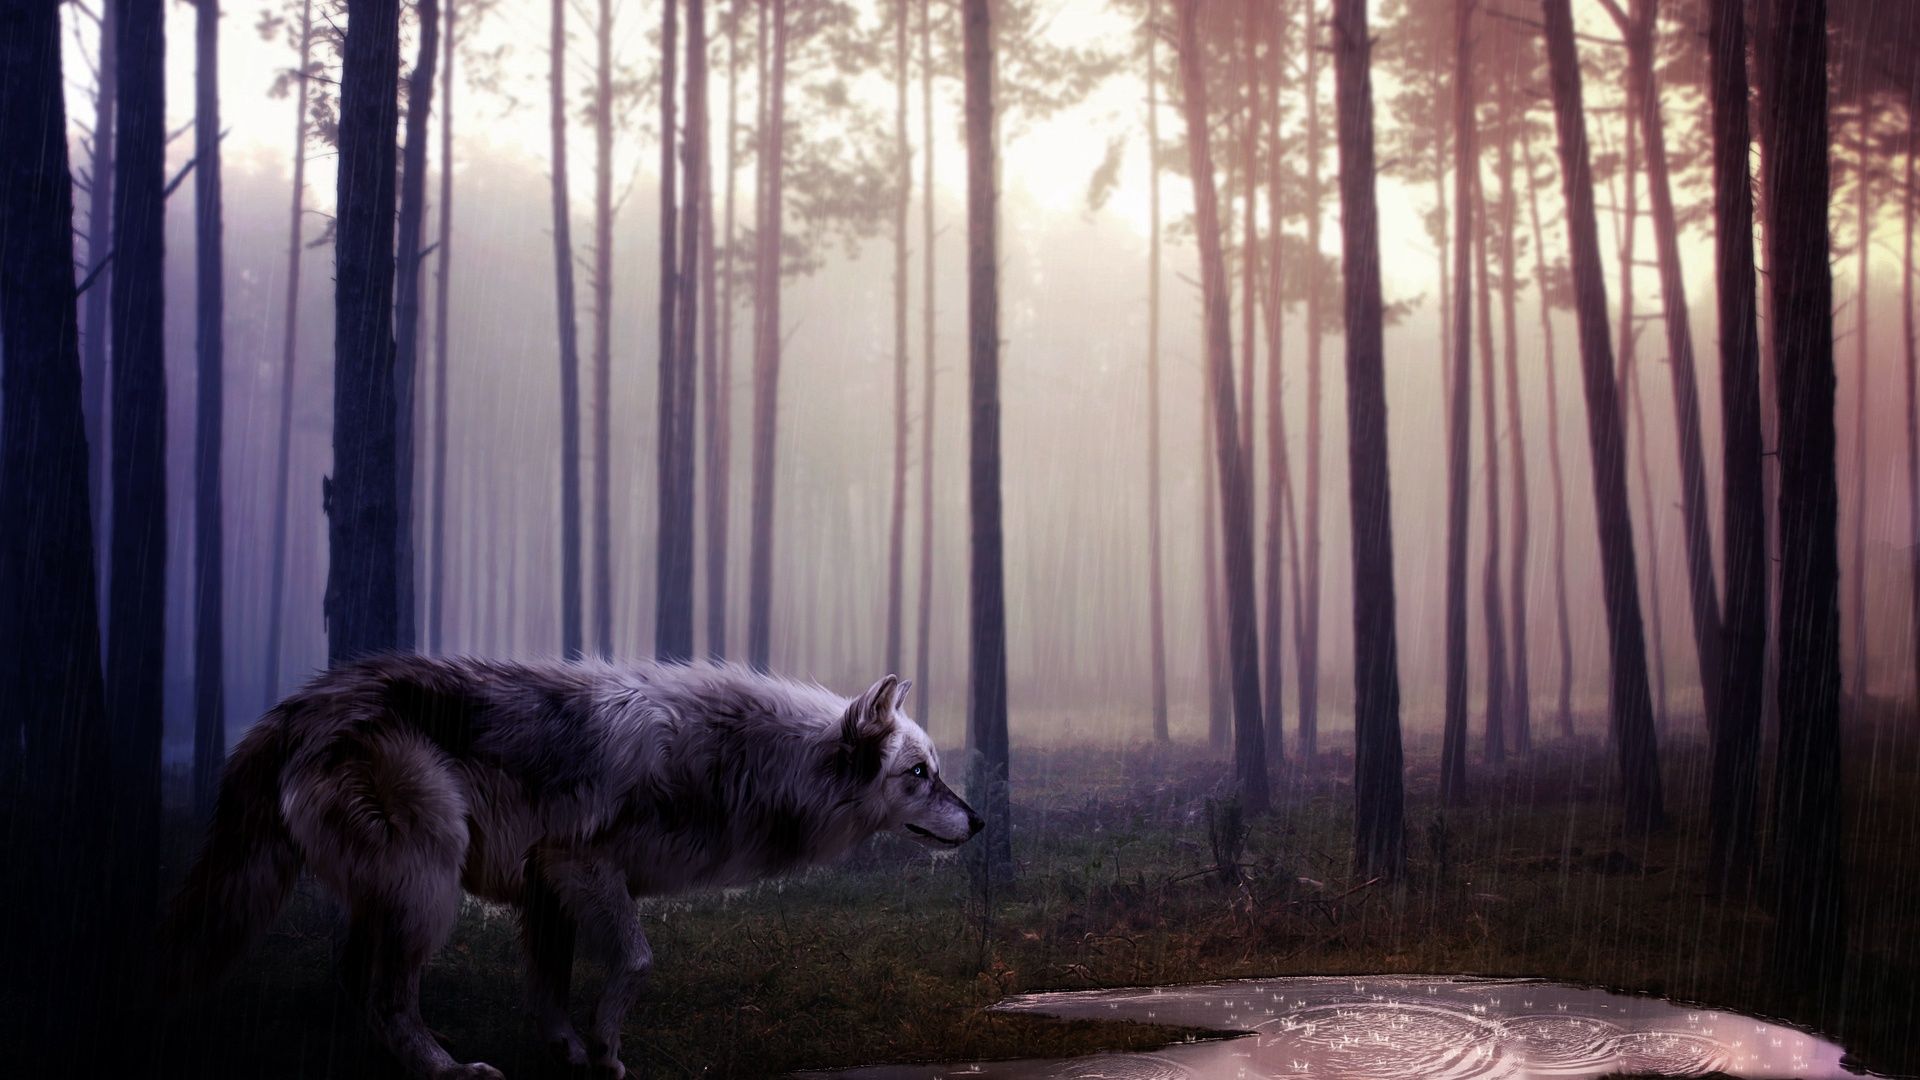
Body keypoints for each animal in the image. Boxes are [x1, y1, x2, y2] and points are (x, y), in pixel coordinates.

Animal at [162, 655, 981, 1079]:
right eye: (919, 775)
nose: (978, 822)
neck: (740, 762)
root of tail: (297, 706)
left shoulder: (544, 888)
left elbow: (549, 986)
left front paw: (568, 1050)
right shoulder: (577, 864)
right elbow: (639, 960)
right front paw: (608, 1048)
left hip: (398, 892)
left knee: (356, 979)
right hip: (427, 888)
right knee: (387, 993)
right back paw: (448, 1073)